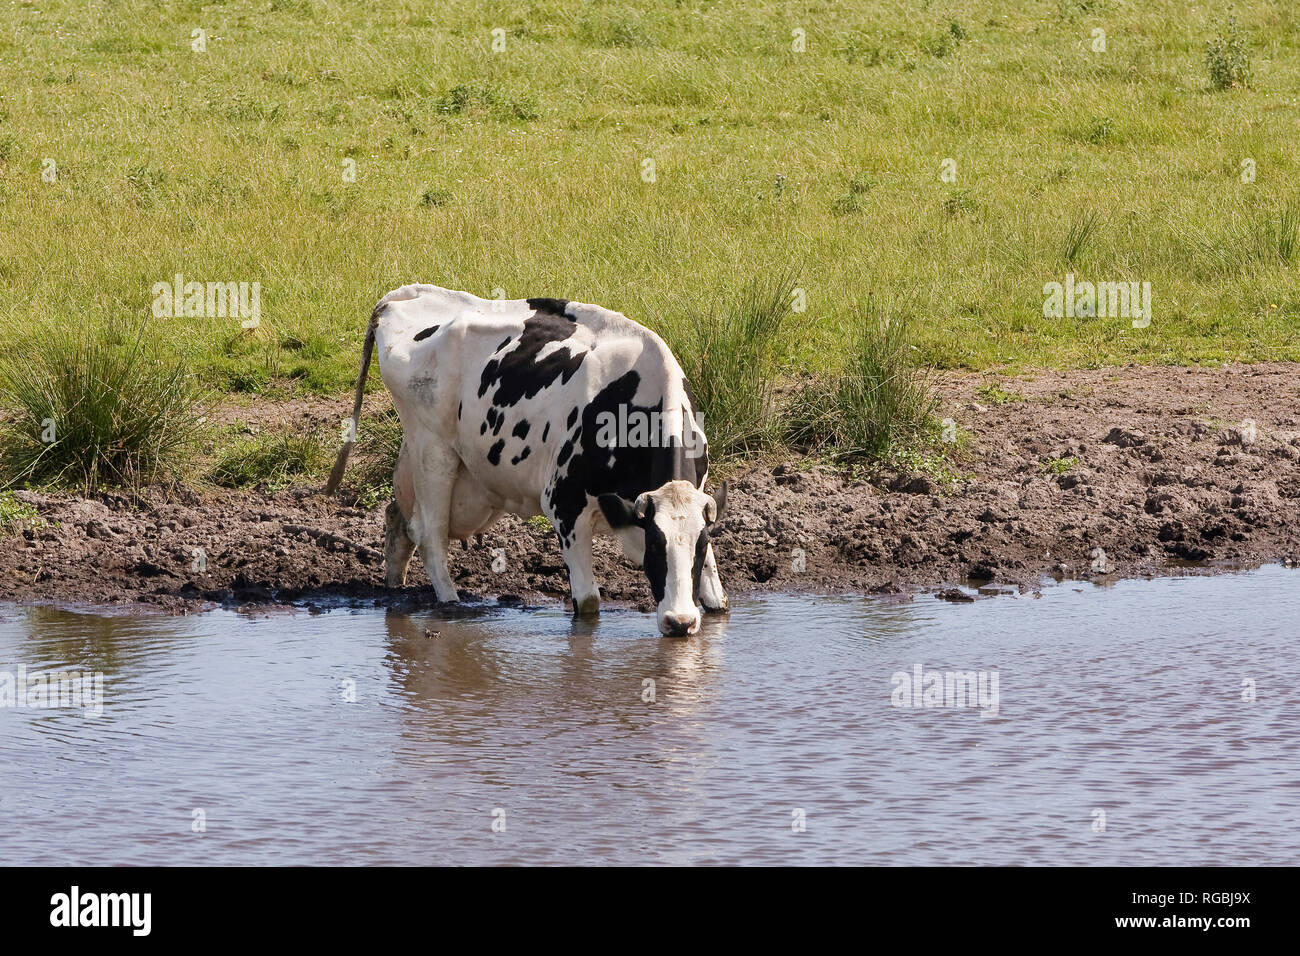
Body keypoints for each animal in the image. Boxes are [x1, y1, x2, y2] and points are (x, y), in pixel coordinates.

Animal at [325, 284, 729, 636]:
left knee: (398, 516)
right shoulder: (564, 506)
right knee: (429, 534)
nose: (680, 622)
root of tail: (408, 295)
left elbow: (718, 599)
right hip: (432, 448)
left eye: (699, 547)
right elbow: (588, 604)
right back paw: (451, 603)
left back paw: (394, 588)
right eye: (655, 547)